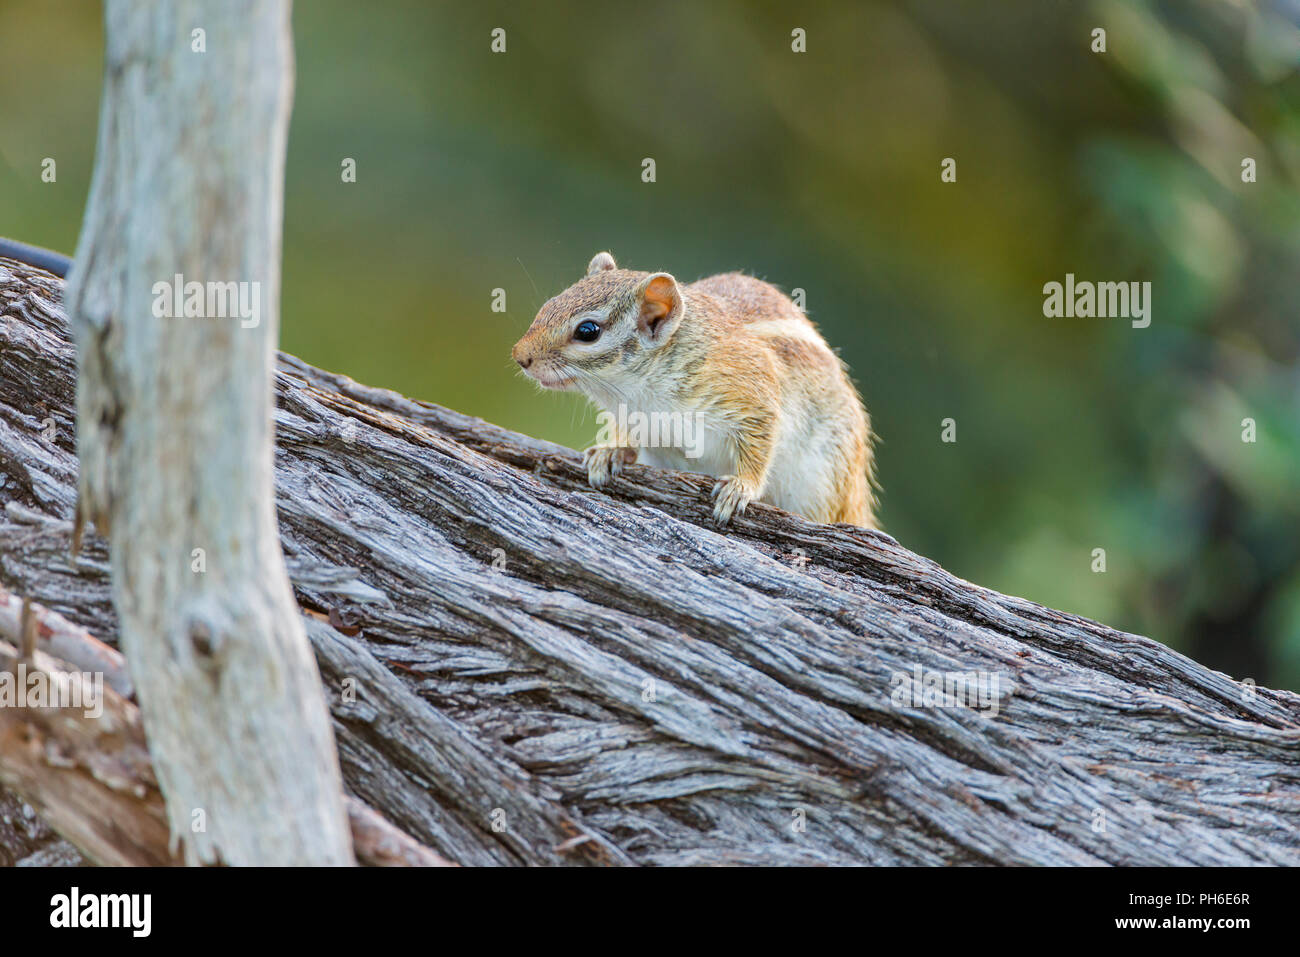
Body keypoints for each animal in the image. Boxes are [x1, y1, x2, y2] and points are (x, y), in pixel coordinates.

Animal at [512, 252, 878, 528]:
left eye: (588, 331)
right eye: (550, 304)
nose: (519, 356)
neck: (638, 392)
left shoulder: (752, 397)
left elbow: (759, 444)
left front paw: (742, 487)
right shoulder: (629, 415)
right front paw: (611, 451)